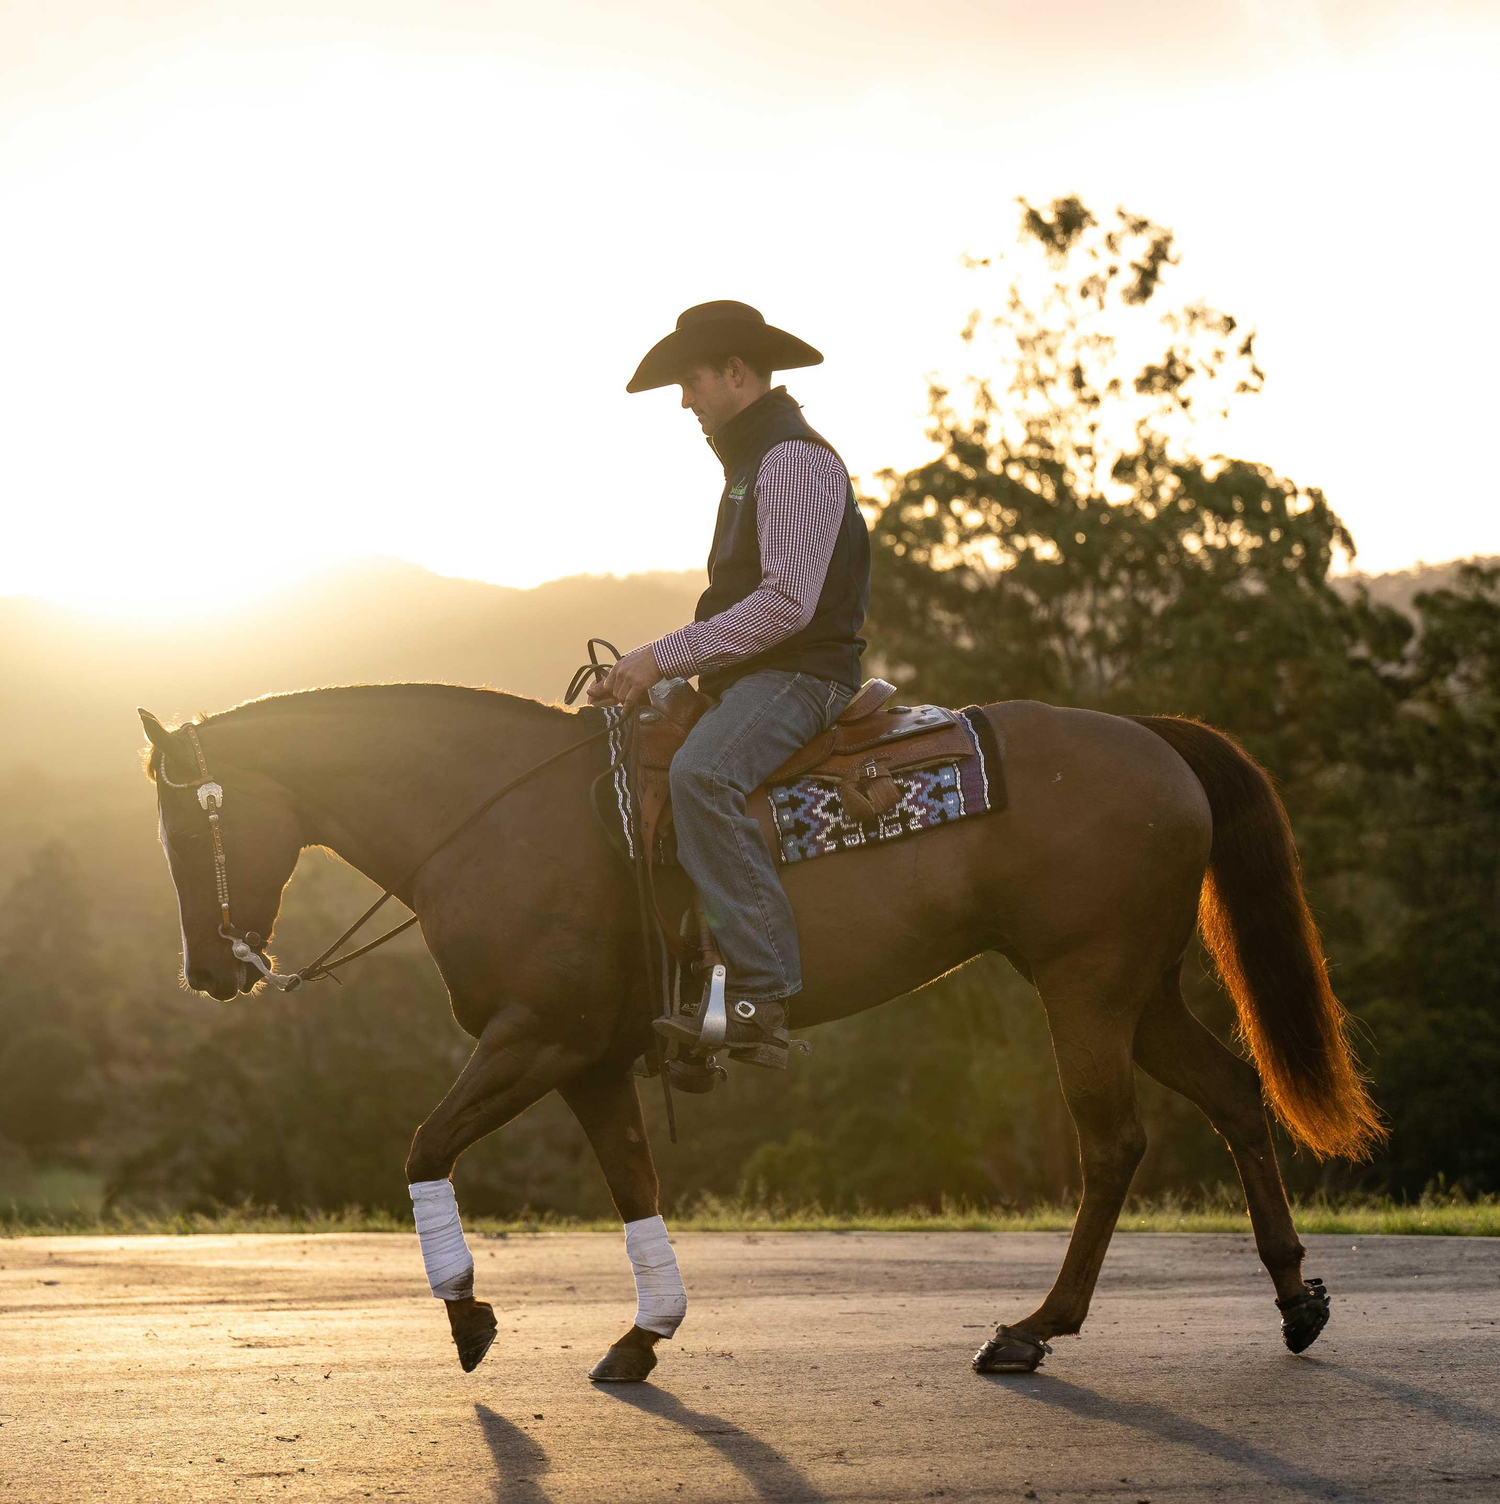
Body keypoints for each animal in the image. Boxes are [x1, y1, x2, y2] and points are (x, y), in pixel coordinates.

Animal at [138, 681, 1382, 1381]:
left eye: (190, 822)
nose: (207, 971)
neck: (499, 817)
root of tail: (1152, 736)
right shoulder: (589, 1057)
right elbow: (633, 1181)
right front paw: (645, 1333)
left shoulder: (535, 1038)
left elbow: (424, 1144)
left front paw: (469, 1315)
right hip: (1140, 989)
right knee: (1235, 1093)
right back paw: (1294, 1300)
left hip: (1086, 985)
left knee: (1114, 1143)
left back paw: (1035, 1326)